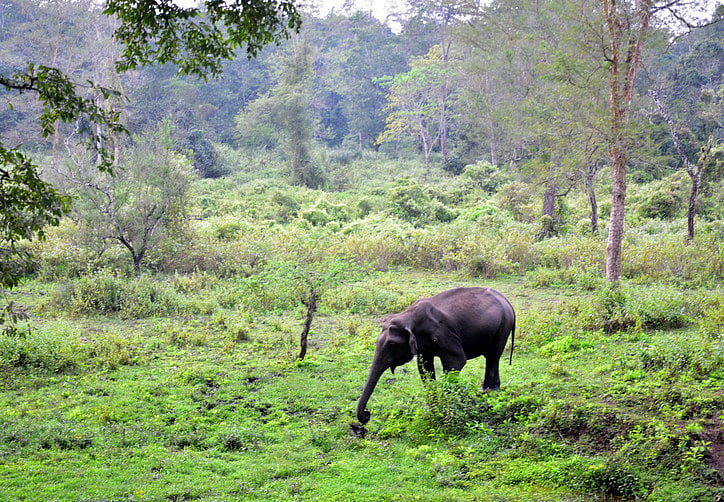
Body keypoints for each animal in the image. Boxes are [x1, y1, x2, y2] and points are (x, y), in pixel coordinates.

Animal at [356, 286, 515, 425]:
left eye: (392, 345)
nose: (367, 413)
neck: (408, 315)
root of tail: (507, 302)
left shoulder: (442, 334)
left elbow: (456, 362)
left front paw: (447, 407)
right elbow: (424, 369)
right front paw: (433, 407)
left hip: (503, 326)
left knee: (493, 355)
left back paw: (487, 391)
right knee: (492, 357)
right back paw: (493, 388)